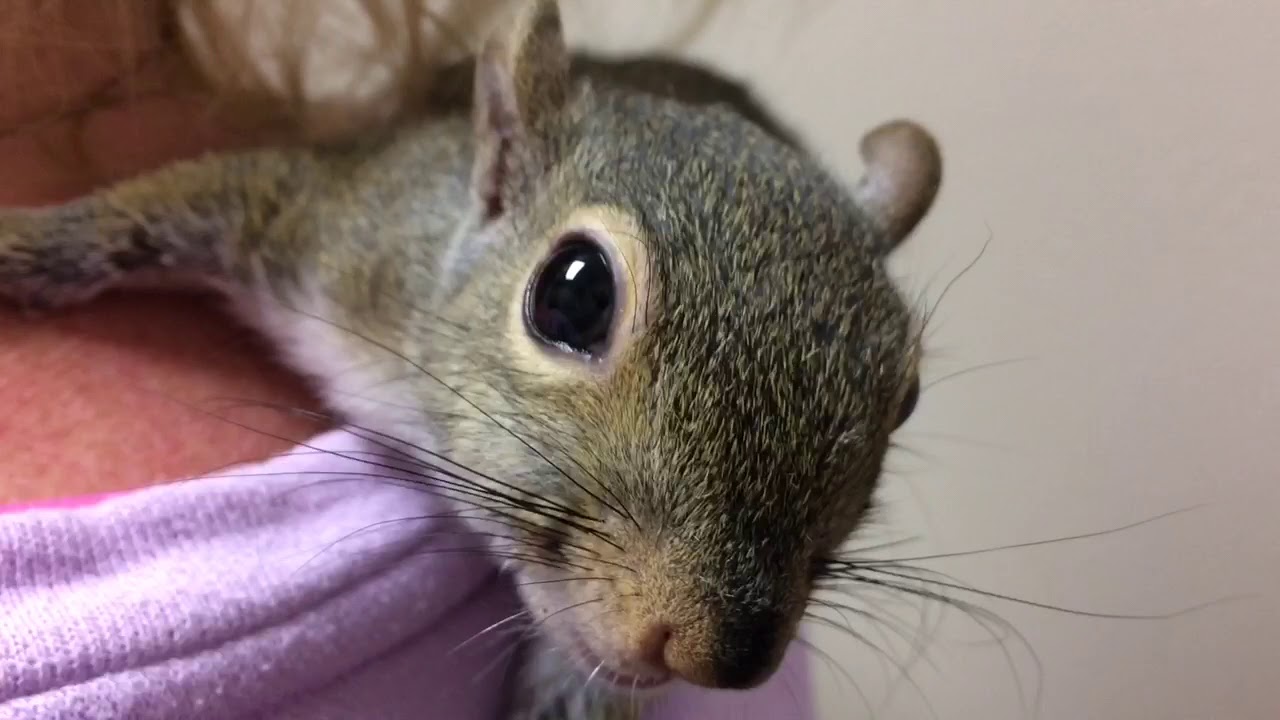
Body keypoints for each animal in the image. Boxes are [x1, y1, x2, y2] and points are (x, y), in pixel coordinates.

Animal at [0, 1, 941, 718]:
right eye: (573, 295)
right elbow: (160, 209)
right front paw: (25, 244)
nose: (725, 654)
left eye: (908, 397)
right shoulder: (342, 226)